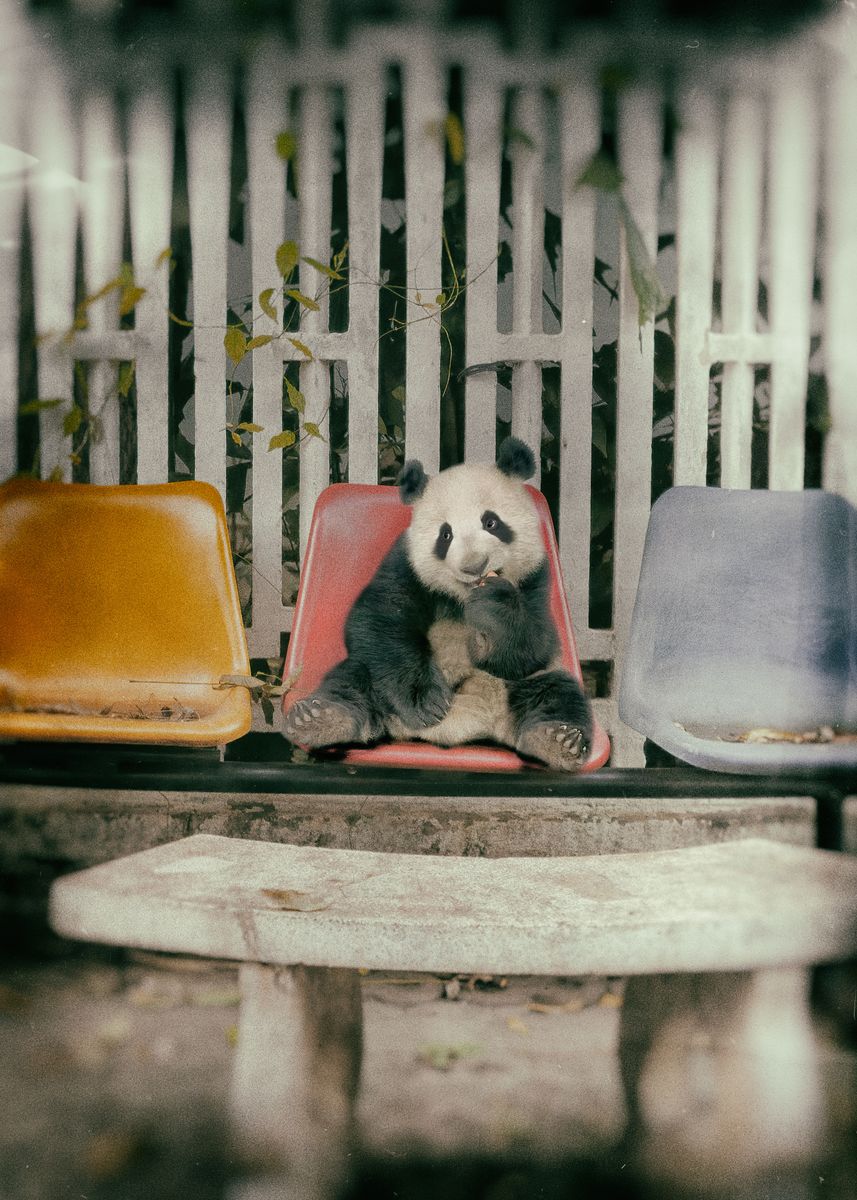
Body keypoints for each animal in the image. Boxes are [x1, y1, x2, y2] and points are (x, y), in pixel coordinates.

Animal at [283, 437, 592, 771]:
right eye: (445, 535)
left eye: (491, 522)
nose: (474, 566)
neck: (462, 598)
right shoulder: (405, 565)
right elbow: (380, 618)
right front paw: (424, 701)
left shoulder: (537, 577)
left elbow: (534, 646)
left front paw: (494, 607)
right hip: (376, 680)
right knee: (352, 678)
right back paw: (320, 718)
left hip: (522, 687)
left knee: (557, 691)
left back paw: (557, 741)